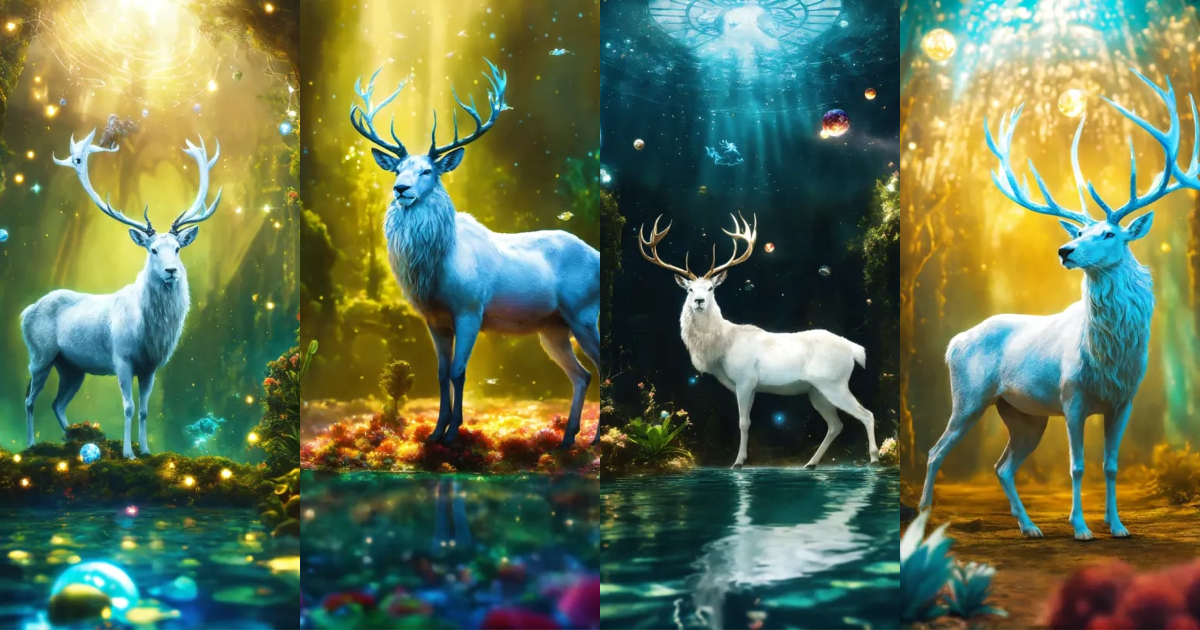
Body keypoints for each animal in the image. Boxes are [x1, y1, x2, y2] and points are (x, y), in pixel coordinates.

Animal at [22, 129, 221, 460]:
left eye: (177, 249)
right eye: (153, 250)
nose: (171, 271)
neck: (150, 332)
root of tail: (24, 312)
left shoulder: (151, 366)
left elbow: (144, 409)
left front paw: (147, 450)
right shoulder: (122, 358)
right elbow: (127, 407)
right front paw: (128, 453)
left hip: (72, 368)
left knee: (57, 403)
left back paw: (76, 439)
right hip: (41, 355)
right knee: (29, 398)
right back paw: (31, 444)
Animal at [349, 60, 601, 449]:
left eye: (427, 170)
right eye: (397, 169)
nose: (400, 189)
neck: (433, 269)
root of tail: (598, 254)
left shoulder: (470, 309)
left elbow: (458, 371)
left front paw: (454, 433)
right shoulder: (434, 318)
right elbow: (440, 373)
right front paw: (435, 433)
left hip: (584, 312)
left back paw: (594, 439)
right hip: (553, 328)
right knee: (582, 375)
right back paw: (568, 438)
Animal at [639, 214, 879, 469]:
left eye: (711, 288)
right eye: (690, 289)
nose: (699, 301)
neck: (720, 347)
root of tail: (854, 350)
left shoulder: (745, 379)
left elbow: (744, 422)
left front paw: (738, 462)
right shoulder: (750, 386)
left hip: (834, 383)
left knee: (866, 414)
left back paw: (874, 458)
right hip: (817, 391)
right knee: (836, 425)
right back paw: (811, 463)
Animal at [918, 69, 1200, 540]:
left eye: (1108, 233)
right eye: (1081, 233)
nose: (1065, 250)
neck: (1109, 357)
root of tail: (953, 342)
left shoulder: (1123, 400)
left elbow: (1110, 465)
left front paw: (1117, 526)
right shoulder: (1072, 397)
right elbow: (1077, 466)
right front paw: (1081, 528)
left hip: (1023, 415)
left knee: (1002, 465)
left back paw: (1029, 527)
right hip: (970, 396)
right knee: (937, 450)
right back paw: (923, 514)